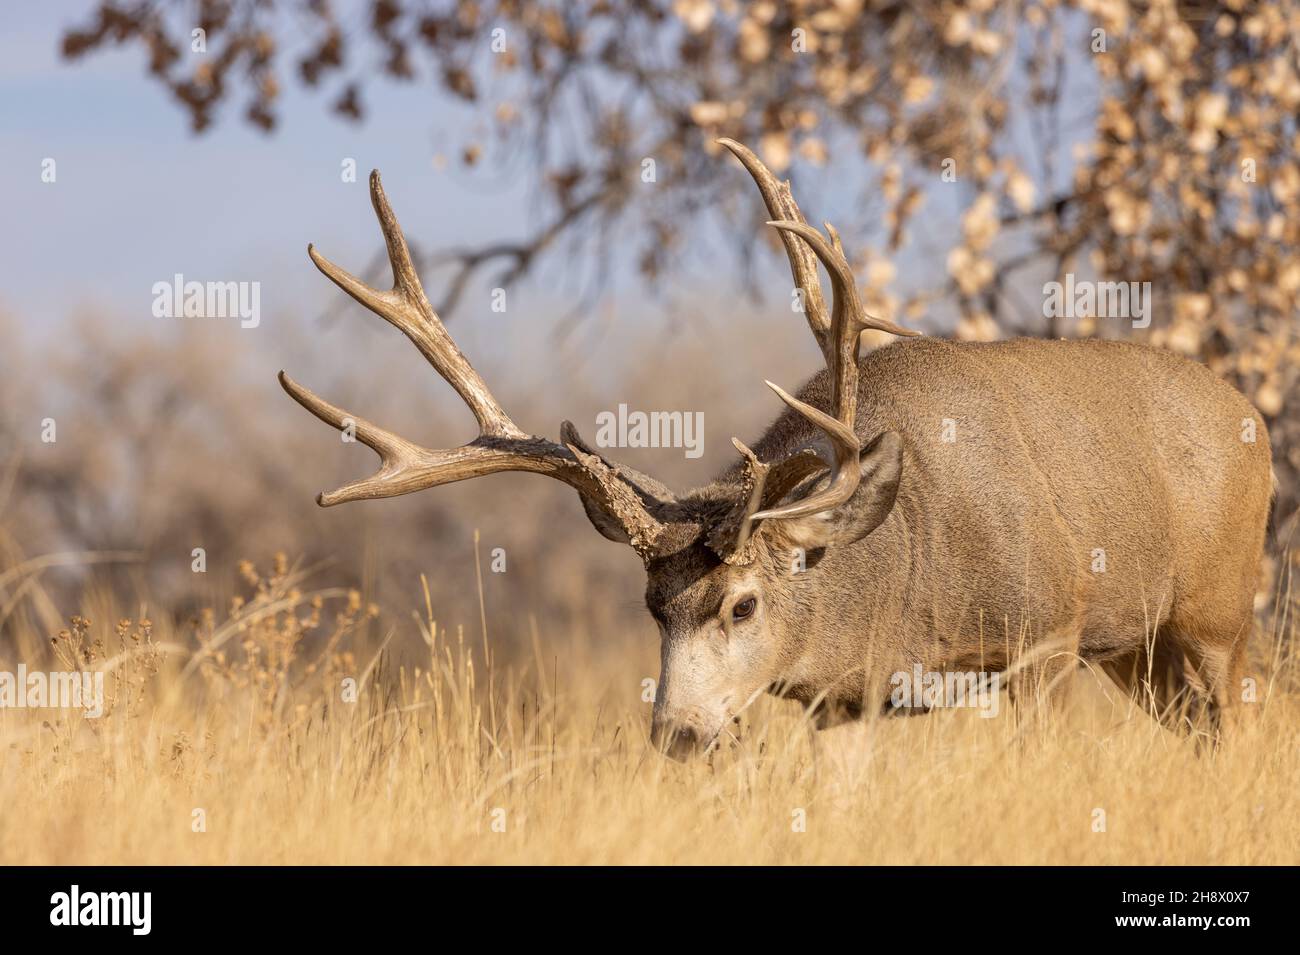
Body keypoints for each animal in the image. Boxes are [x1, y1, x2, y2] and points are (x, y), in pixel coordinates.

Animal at [280, 139, 1274, 759]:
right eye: (652, 607)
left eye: (744, 604)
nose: (678, 734)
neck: (909, 565)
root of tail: (1253, 416)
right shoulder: (848, 699)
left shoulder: (1046, 637)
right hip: (1141, 656)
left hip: (1217, 615)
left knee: (1238, 731)